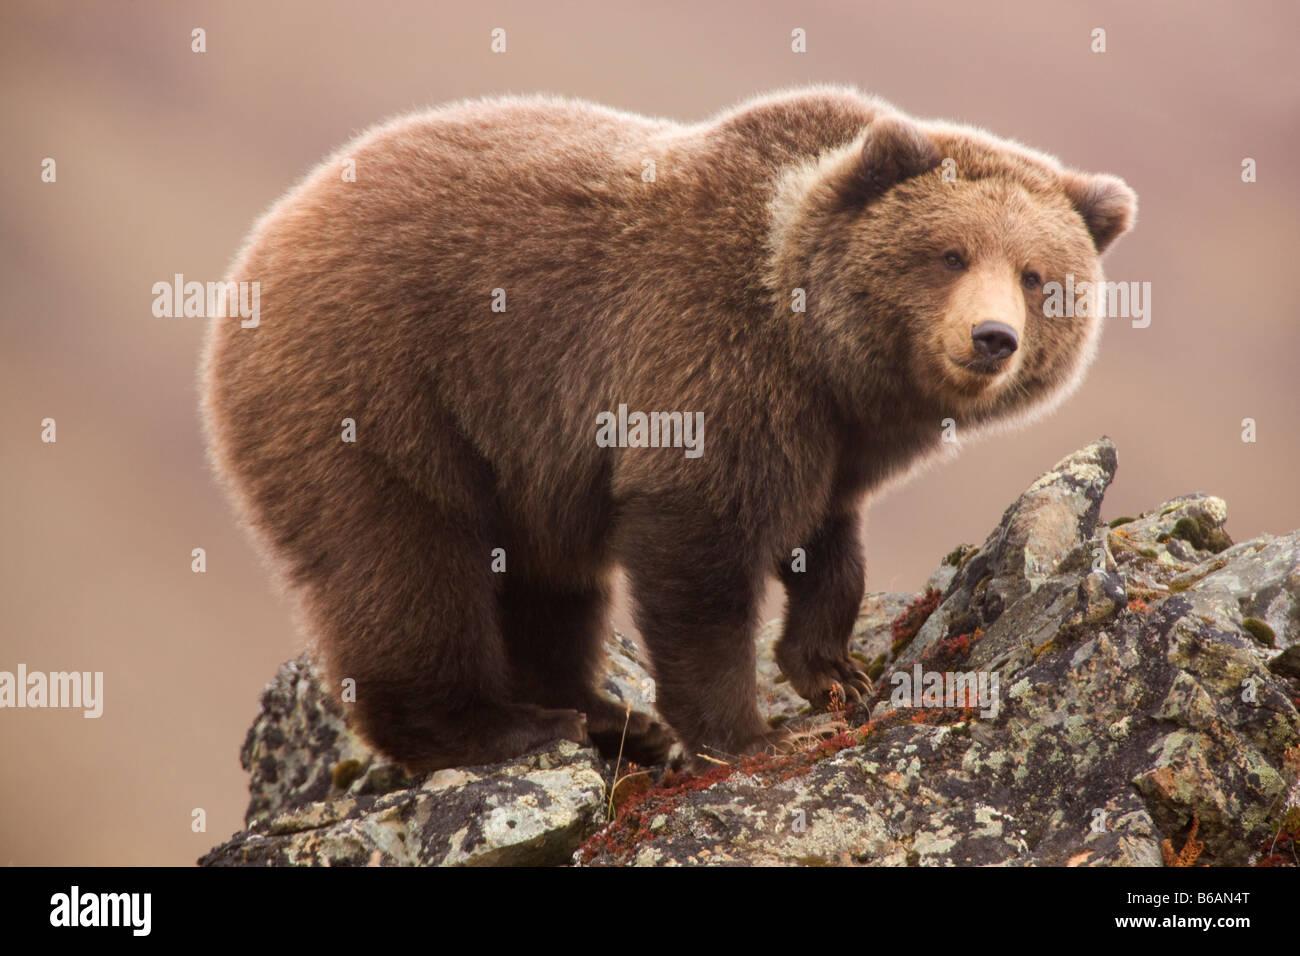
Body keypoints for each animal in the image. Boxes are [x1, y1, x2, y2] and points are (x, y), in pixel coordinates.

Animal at [200, 87, 1136, 774]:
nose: (993, 337)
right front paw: (744, 728)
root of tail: (262, 242)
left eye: (1037, 275)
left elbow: (826, 542)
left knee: (545, 584)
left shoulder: (828, 438)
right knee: (404, 564)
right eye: (948, 253)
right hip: (380, 391)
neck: (813, 345)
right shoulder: (702, 357)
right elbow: (701, 552)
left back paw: (607, 718)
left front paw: (832, 667)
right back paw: (507, 726)